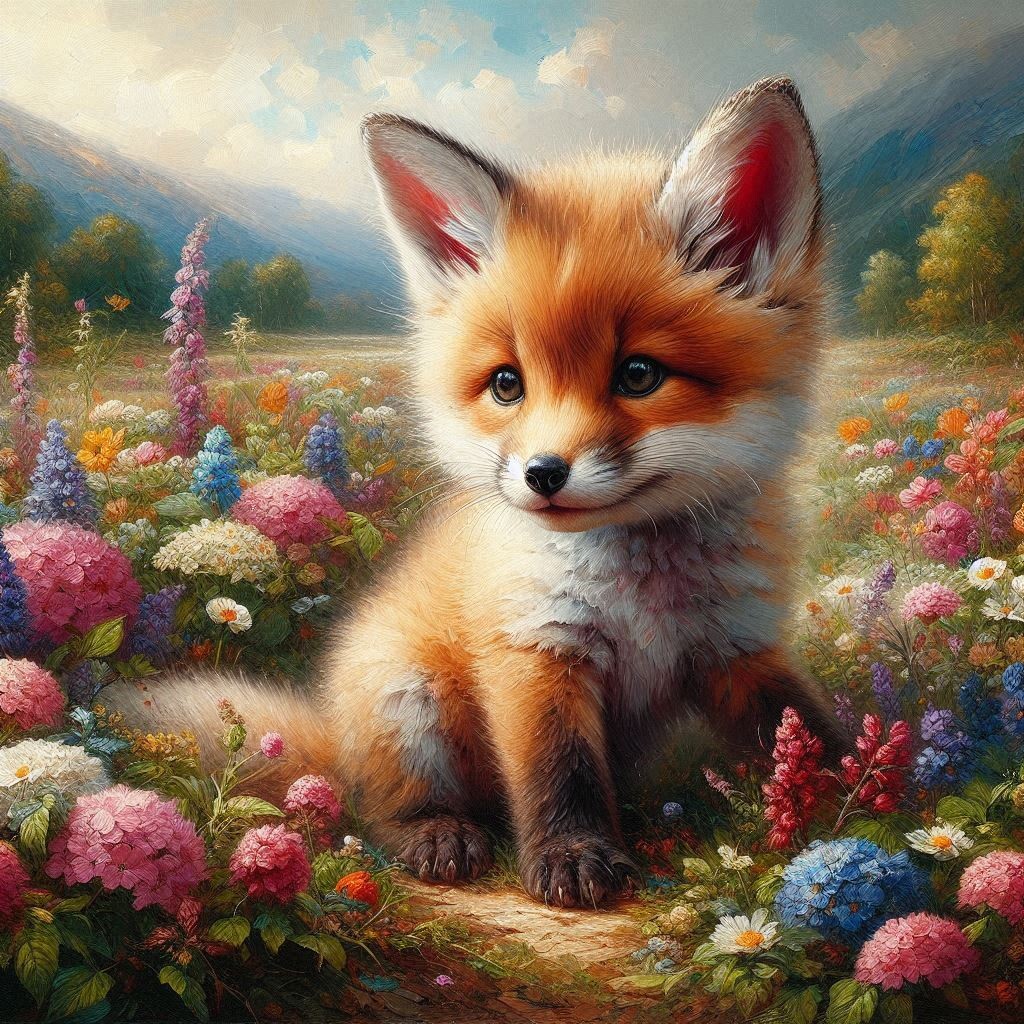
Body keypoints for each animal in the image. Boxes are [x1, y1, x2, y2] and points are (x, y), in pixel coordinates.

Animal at [107, 76, 845, 909]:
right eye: (506, 385)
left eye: (639, 374)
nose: (543, 475)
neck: (644, 593)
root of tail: (335, 736)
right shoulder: (533, 646)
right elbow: (558, 773)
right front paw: (574, 854)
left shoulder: (734, 645)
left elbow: (801, 725)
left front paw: (863, 800)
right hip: (410, 702)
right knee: (377, 809)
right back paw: (436, 833)